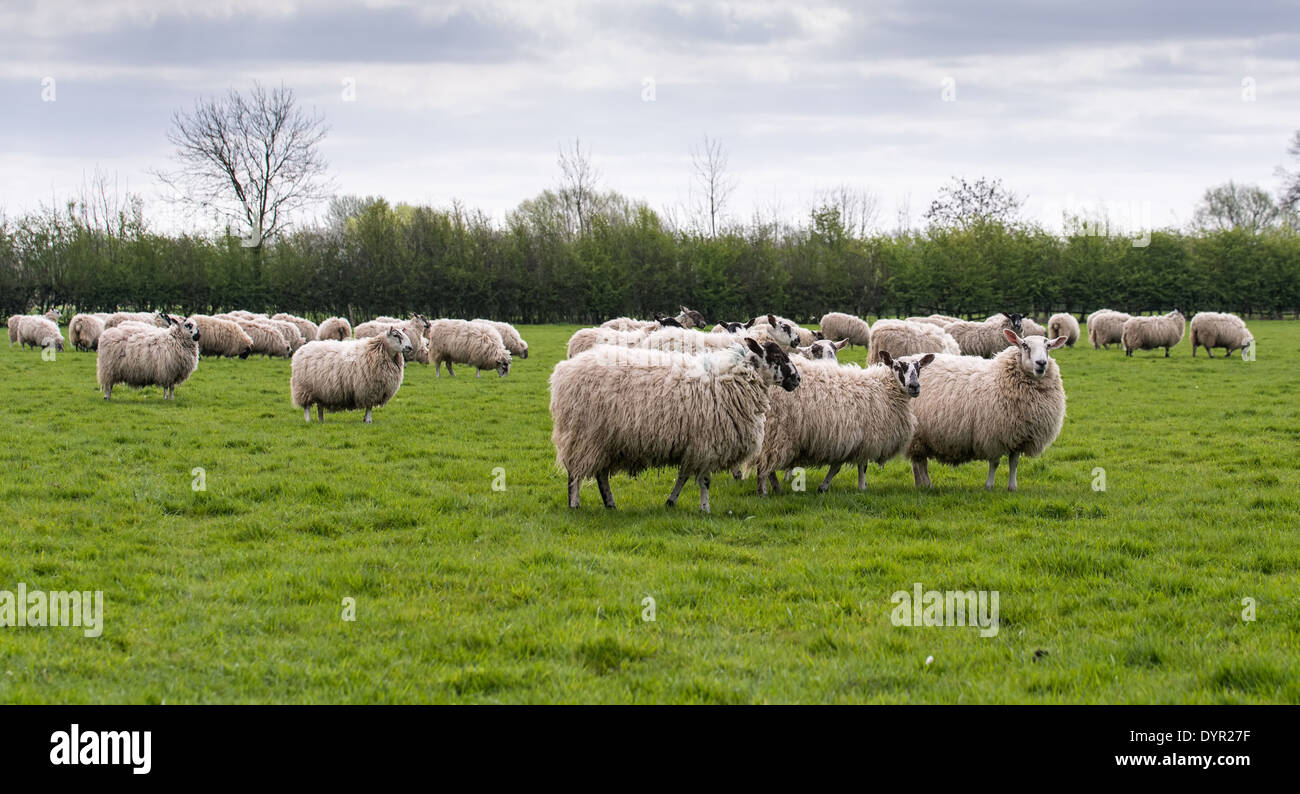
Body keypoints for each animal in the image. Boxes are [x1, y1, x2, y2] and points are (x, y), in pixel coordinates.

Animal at [550, 337, 801, 512]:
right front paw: (705, 509)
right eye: (777, 357)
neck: (733, 379)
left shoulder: (692, 444)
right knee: (575, 472)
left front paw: (671, 501)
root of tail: (562, 372)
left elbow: (683, 476)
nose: (797, 379)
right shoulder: (706, 443)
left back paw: (610, 504)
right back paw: (575, 504)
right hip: (583, 435)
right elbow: (704, 480)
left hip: (604, 440)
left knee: (600, 474)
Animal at [755, 352, 934, 496]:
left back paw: (777, 489)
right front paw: (862, 488)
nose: (915, 386)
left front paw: (823, 487)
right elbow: (861, 466)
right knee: (763, 465)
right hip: (774, 431)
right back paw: (763, 492)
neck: (884, 388)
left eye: (919, 367)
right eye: (897, 367)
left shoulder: (847, 439)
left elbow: (836, 467)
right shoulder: (865, 439)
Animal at [907, 330, 1068, 491]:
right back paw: (927, 484)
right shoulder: (993, 434)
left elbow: (1014, 463)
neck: (1001, 377)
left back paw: (919, 485)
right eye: (1025, 345)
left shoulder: (1018, 435)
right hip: (918, 436)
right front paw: (989, 486)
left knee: (916, 462)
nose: (1041, 363)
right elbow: (994, 463)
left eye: (1048, 346)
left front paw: (1012, 487)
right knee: (920, 462)